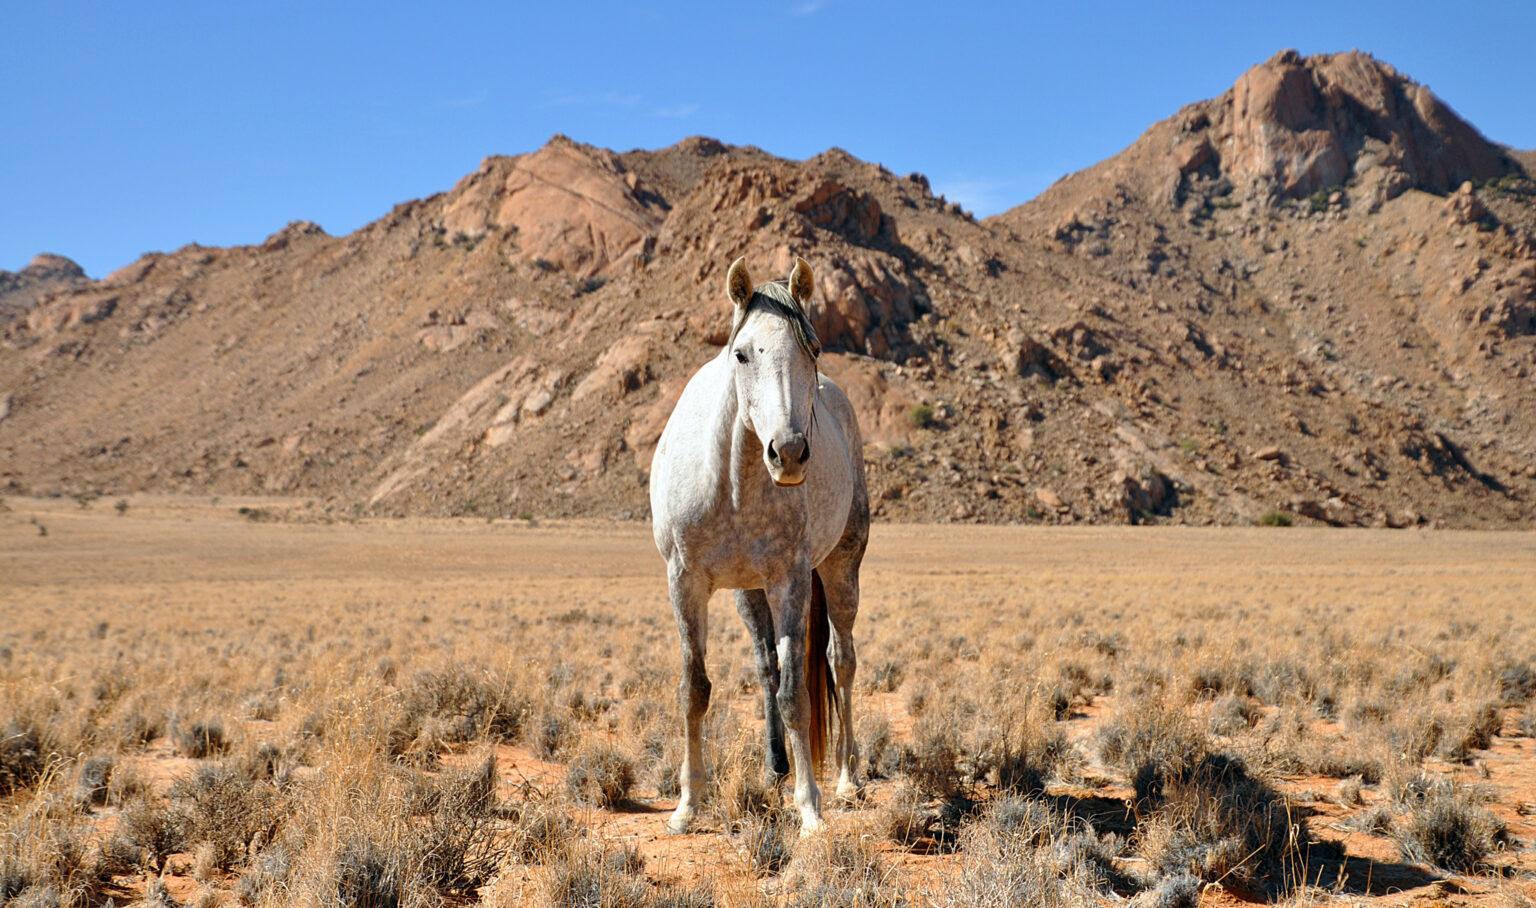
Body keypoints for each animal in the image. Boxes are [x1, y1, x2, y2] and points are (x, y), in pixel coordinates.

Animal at [649, 255, 869, 835]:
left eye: (812, 348)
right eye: (742, 353)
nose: (788, 453)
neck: (731, 483)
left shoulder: (789, 581)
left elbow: (796, 695)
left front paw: (810, 808)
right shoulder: (685, 582)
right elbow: (694, 689)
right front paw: (687, 805)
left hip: (840, 569)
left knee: (841, 661)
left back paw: (845, 777)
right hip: (746, 592)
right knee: (767, 665)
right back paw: (774, 768)